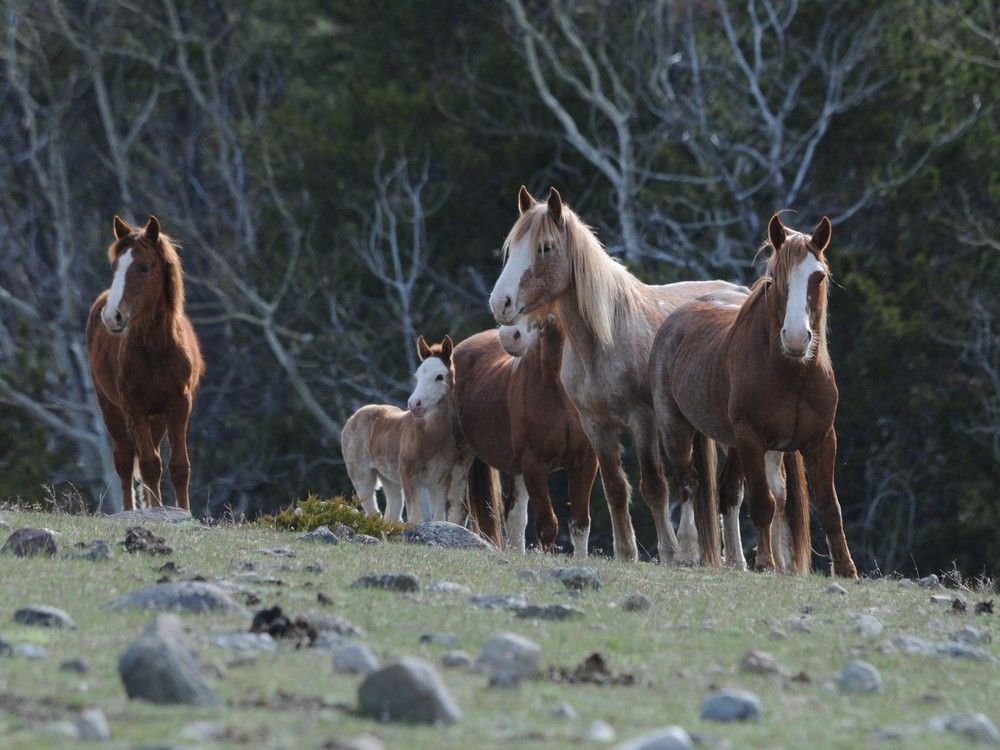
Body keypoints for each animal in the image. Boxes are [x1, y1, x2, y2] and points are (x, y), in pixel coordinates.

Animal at [86, 215, 204, 511]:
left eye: (144, 268)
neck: (157, 349)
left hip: (158, 418)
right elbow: (150, 465)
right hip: (112, 410)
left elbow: (179, 466)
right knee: (125, 460)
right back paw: (131, 510)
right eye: (115, 267)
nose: (112, 316)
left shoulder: (179, 405)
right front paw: (155, 513)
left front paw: (182, 511)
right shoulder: (134, 405)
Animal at [341, 335, 501, 544]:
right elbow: (416, 518)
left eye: (440, 376)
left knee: (390, 515)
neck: (429, 438)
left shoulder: (440, 481)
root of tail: (354, 416)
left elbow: (439, 518)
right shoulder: (410, 478)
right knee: (373, 513)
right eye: (417, 375)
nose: (414, 404)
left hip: (390, 480)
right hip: (362, 477)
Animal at [453, 312, 598, 555]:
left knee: (515, 515)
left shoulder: (585, 462)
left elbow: (580, 524)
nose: (509, 336)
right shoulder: (534, 465)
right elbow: (548, 525)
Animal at [489, 186, 744, 564]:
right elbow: (615, 488)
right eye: (511, 248)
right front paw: (626, 554)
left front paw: (669, 553)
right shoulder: (596, 426)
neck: (604, 339)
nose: (501, 305)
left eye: (545, 247)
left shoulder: (642, 421)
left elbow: (653, 487)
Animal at [649, 214, 858, 577]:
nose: (796, 338)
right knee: (688, 481)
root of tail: (675, 319)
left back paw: (738, 560)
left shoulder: (821, 440)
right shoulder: (751, 438)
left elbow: (828, 506)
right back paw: (688, 551)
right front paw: (765, 562)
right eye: (774, 277)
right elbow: (763, 502)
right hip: (677, 428)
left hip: (735, 444)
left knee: (730, 492)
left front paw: (845, 569)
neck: (793, 375)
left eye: (818, 276)